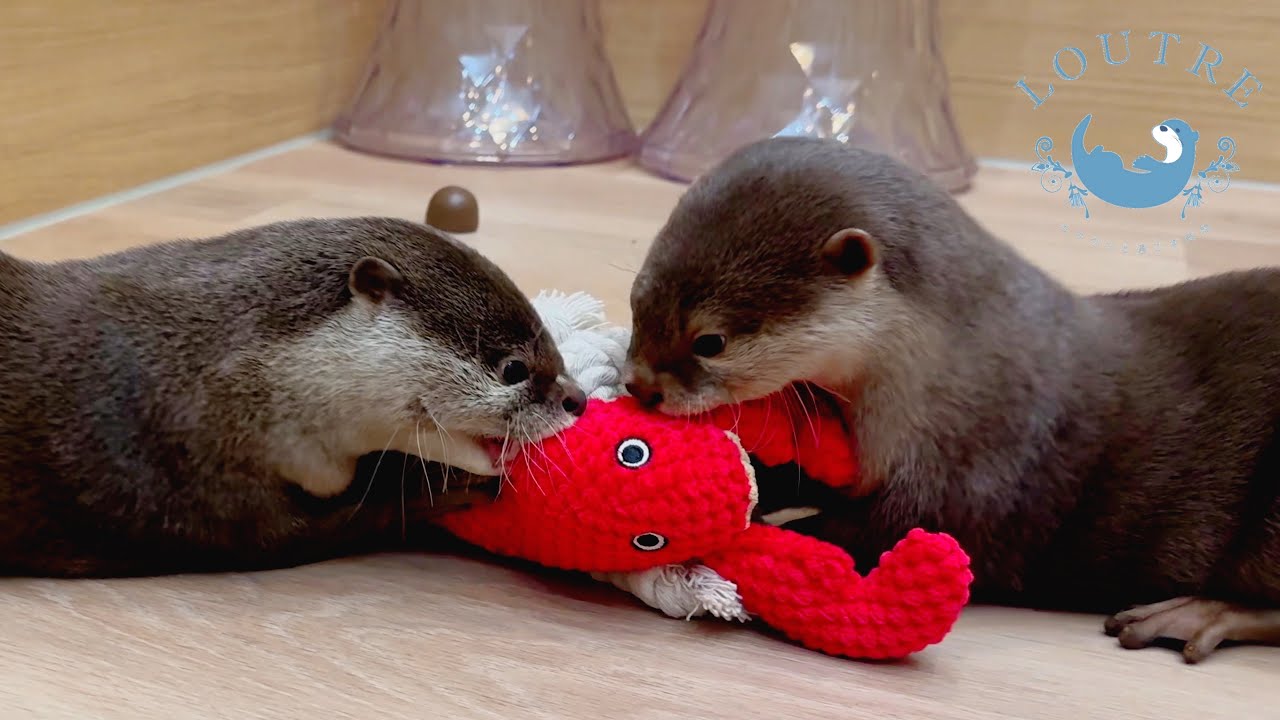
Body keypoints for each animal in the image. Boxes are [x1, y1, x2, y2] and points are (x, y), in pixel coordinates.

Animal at [625, 137, 1280, 663]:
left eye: (710, 341)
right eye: (636, 301)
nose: (638, 386)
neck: (953, 379)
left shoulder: (973, 478)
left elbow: (881, 529)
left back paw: (1196, 614)